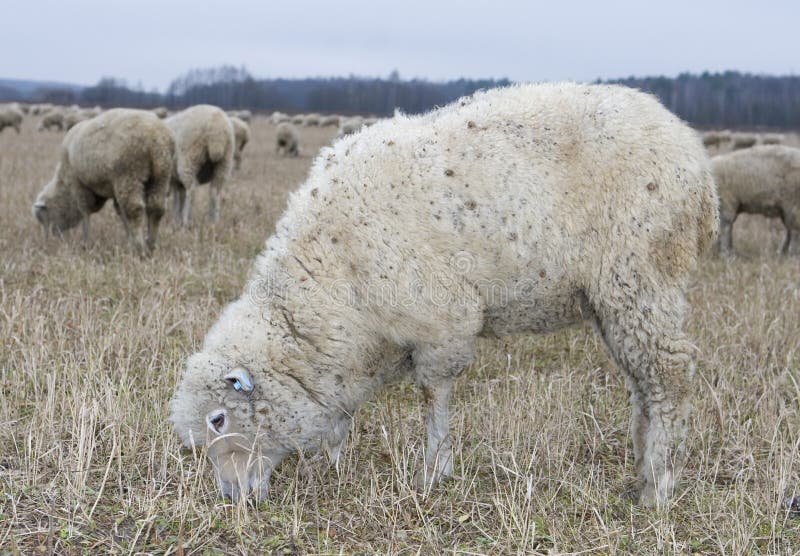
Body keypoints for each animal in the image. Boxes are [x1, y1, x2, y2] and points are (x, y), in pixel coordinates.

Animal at [32, 109, 174, 256]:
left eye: (43, 217)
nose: (48, 241)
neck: (64, 188)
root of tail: (155, 137)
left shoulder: (77, 184)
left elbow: (85, 212)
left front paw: (86, 242)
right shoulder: (113, 188)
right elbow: (121, 212)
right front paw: (129, 240)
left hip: (128, 175)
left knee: (135, 210)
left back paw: (140, 248)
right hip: (161, 174)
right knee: (156, 208)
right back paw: (151, 245)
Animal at [170, 82, 718, 507]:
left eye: (219, 419)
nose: (232, 498)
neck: (332, 272)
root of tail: (693, 154)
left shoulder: (440, 322)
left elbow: (433, 397)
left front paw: (434, 471)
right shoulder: (368, 341)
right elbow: (344, 406)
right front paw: (334, 461)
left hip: (640, 274)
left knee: (670, 374)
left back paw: (658, 485)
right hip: (617, 299)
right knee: (643, 381)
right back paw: (642, 467)